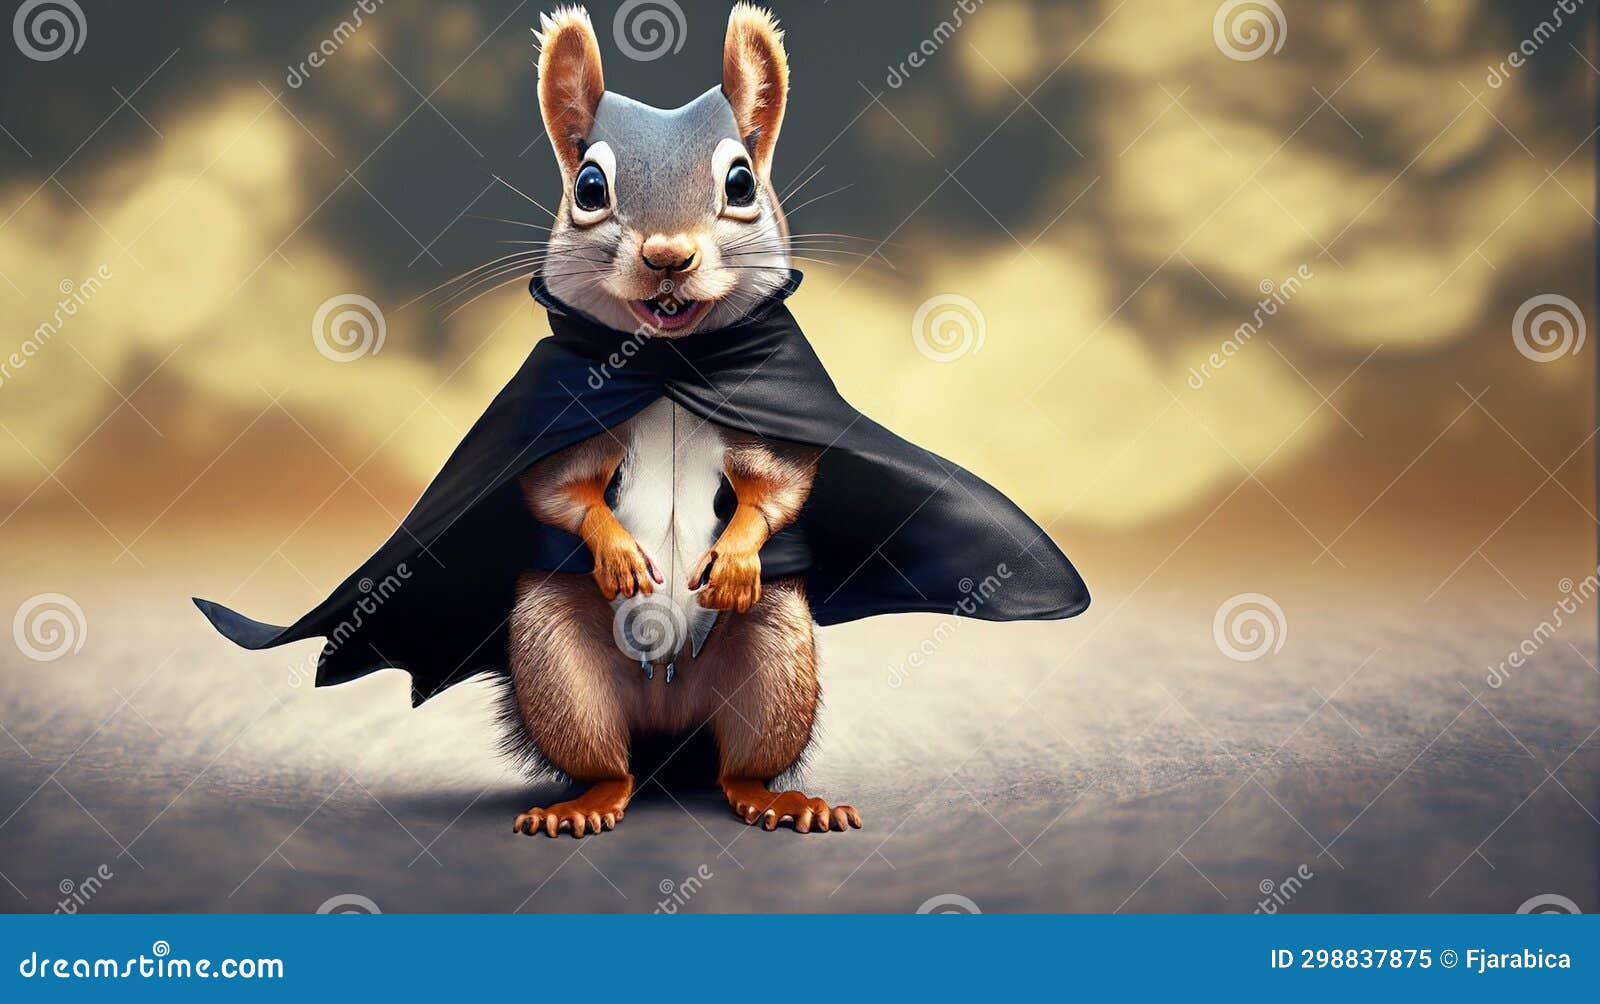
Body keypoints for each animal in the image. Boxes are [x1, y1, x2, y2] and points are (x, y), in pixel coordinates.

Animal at [505, 4, 861, 837]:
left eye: (741, 181)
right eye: (589, 185)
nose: (668, 255)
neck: (665, 362)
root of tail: (668, 728)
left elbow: (779, 485)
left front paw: (735, 555)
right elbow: (557, 490)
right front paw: (614, 549)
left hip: (779, 653)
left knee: (742, 762)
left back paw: (777, 798)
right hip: (552, 653)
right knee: (605, 759)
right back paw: (586, 802)